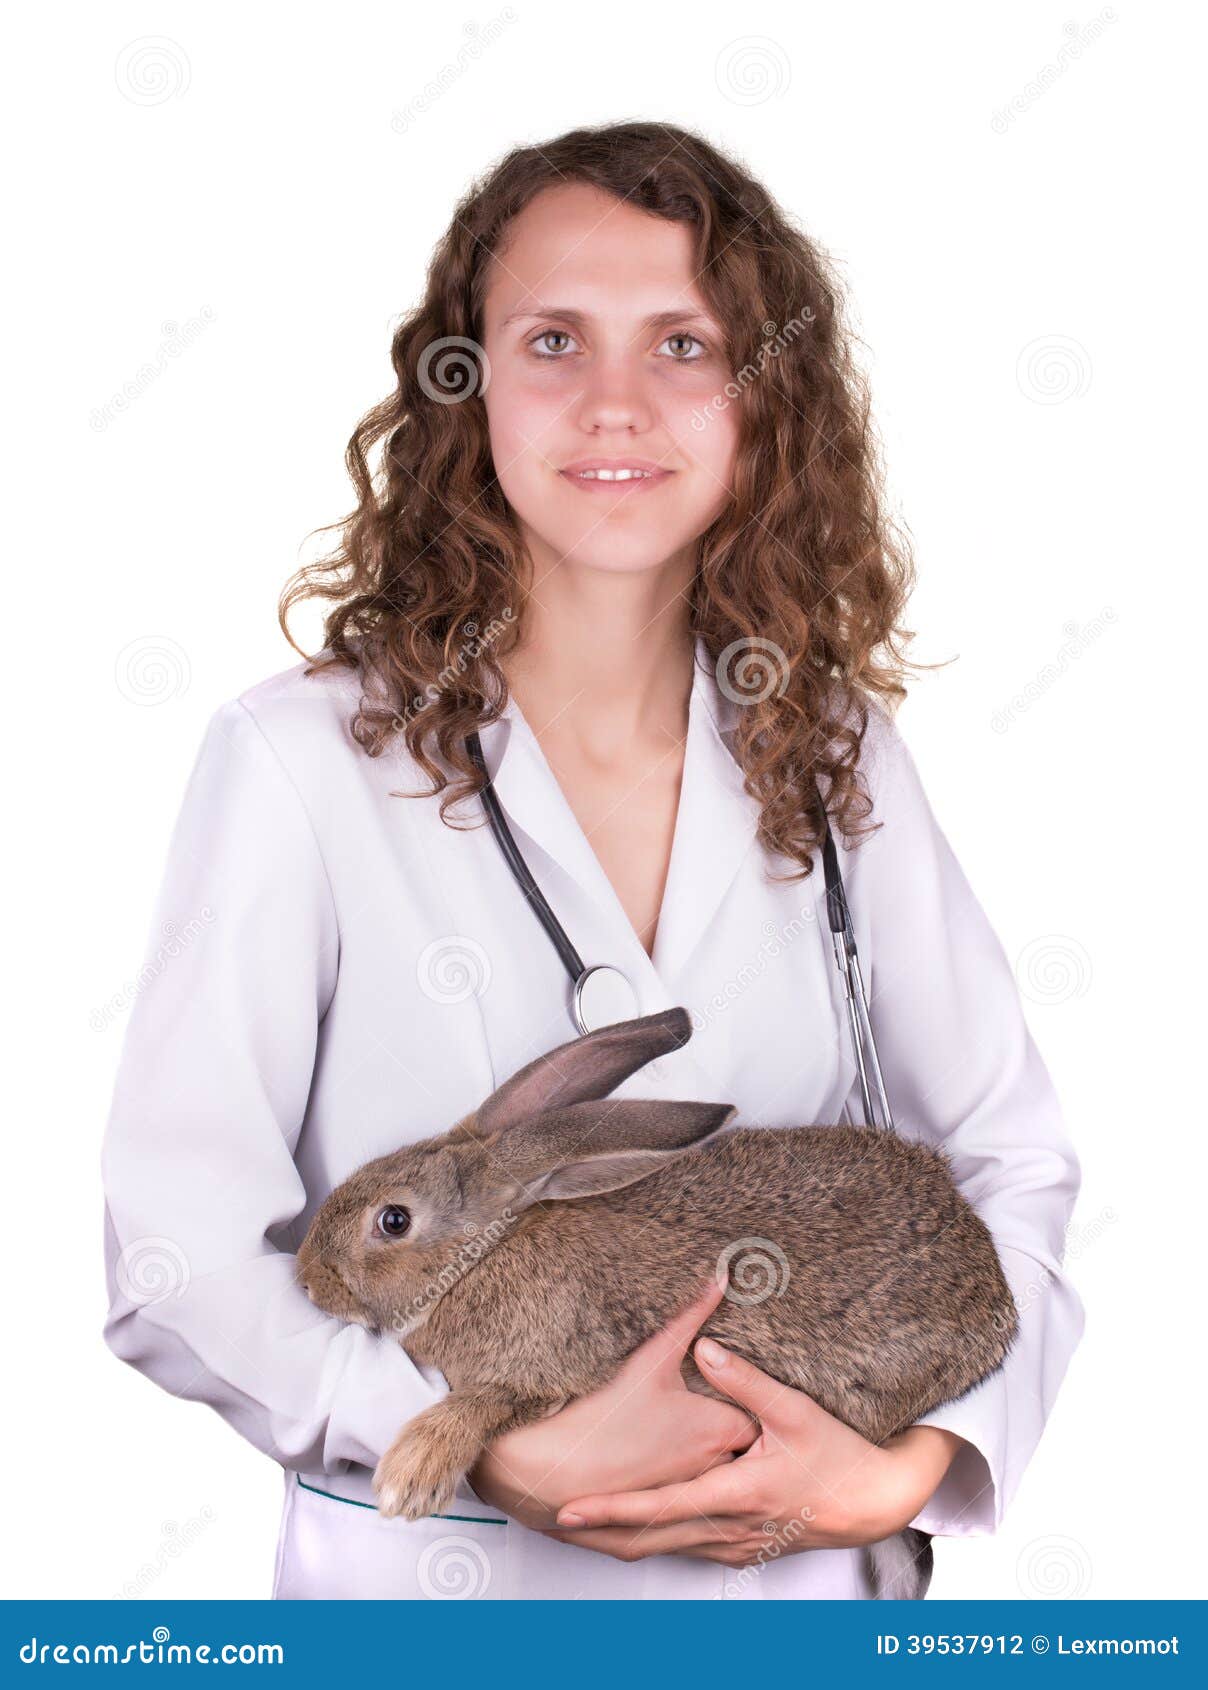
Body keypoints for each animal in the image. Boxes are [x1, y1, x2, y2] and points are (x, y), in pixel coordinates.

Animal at [296, 1005, 1018, 1600]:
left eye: (393, 1221)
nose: (305, 1280)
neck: (482, 1252)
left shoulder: (549, 1368)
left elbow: (481, 1403)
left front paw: (409, 1476)